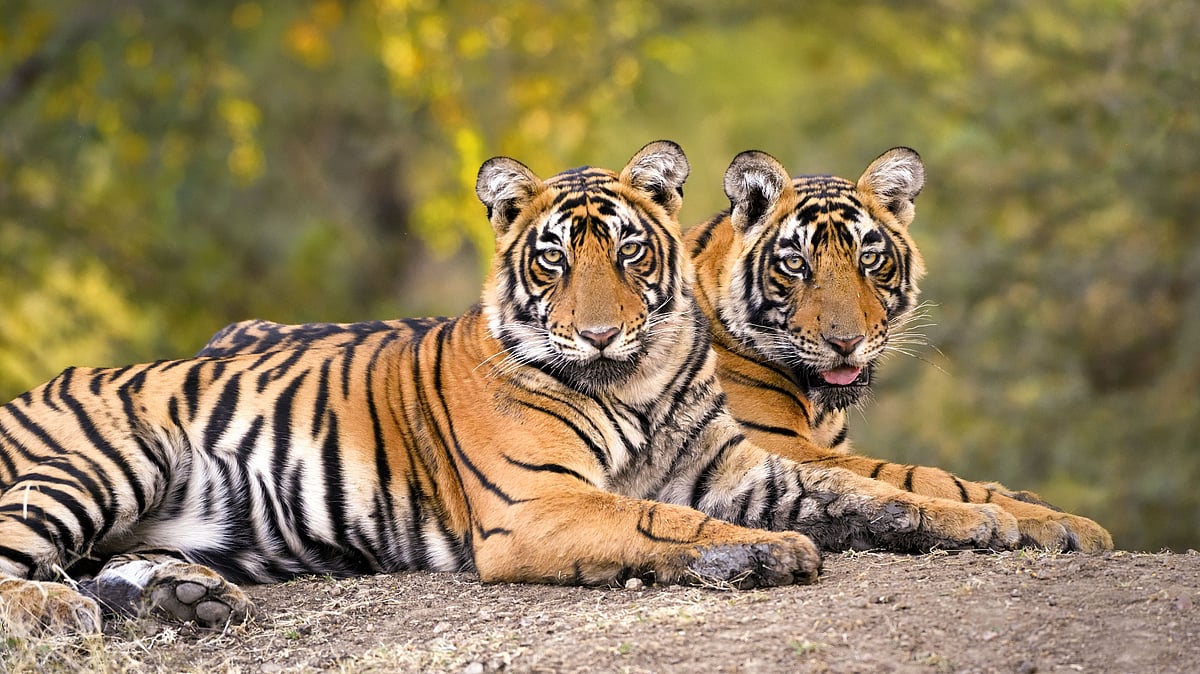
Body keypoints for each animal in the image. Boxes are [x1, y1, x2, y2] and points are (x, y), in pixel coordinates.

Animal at [0, 141, 1021, 636]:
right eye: (555, 257)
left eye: (629, 251)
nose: (602, 330)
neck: (635, 378)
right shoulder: (539, 503)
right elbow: (662, 520)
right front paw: (768, 554)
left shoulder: (746, 470)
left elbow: (868, 488)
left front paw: (985, 521)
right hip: (99, 460)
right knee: (23, 568)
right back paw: (69, 611)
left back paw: (182, 600)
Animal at [685, 147, 1112, 552]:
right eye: (795, 263)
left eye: (869, 259)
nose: (846, 342)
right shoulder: (770, 443)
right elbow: (920, 478)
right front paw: (1062, 522)